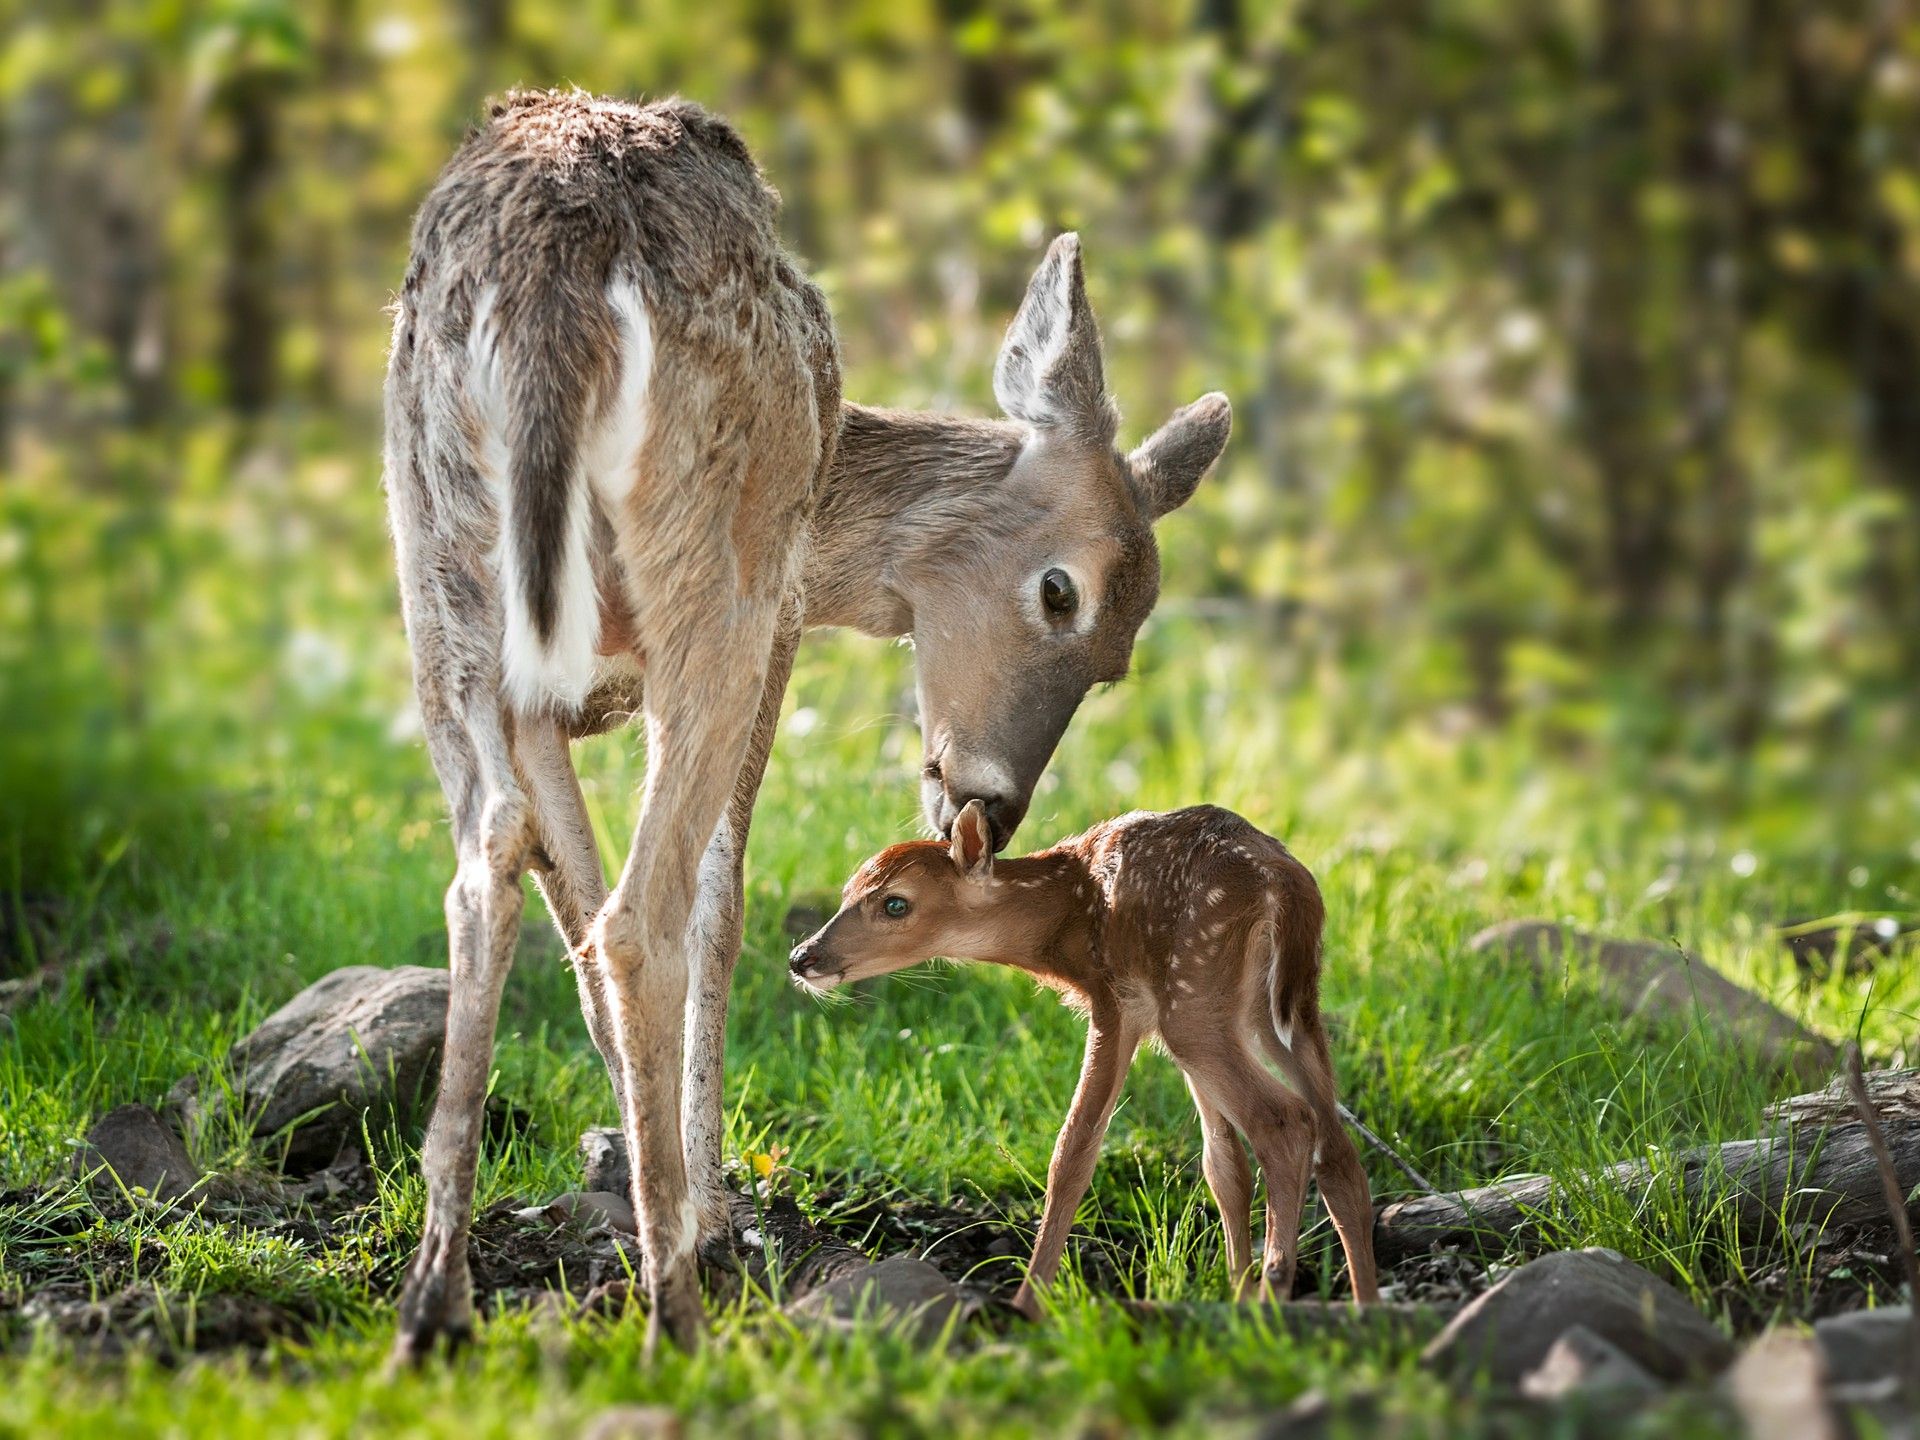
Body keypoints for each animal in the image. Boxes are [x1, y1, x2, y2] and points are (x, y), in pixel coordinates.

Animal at [382, 91, 1232, 1358]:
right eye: (1062, 592)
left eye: (1122, 659)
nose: (991, 804)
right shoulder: (781, 613)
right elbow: (717, 899)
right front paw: (706, 1208)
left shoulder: (543, 702)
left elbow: (564, 907)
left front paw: (641, 1169)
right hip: (716, 576)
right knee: (646, 912)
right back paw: (676, 1307)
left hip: (442, 574)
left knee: (485, 867)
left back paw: (438, 1297)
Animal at [787, 800, 1383, 1315]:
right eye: (847, 890)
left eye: (895, 902)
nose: (802, 956)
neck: (1064, 925)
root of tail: (1285, 884)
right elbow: (1223, 1167)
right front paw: (1231, 1286)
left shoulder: (1116, 1001)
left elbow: (1072, 1151)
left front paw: (1028, 1305)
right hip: (1279, 1009)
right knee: (1336, 1151)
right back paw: (1362, 1308)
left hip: (1195, 995)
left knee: (1285, 1122)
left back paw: (1272, 1295)